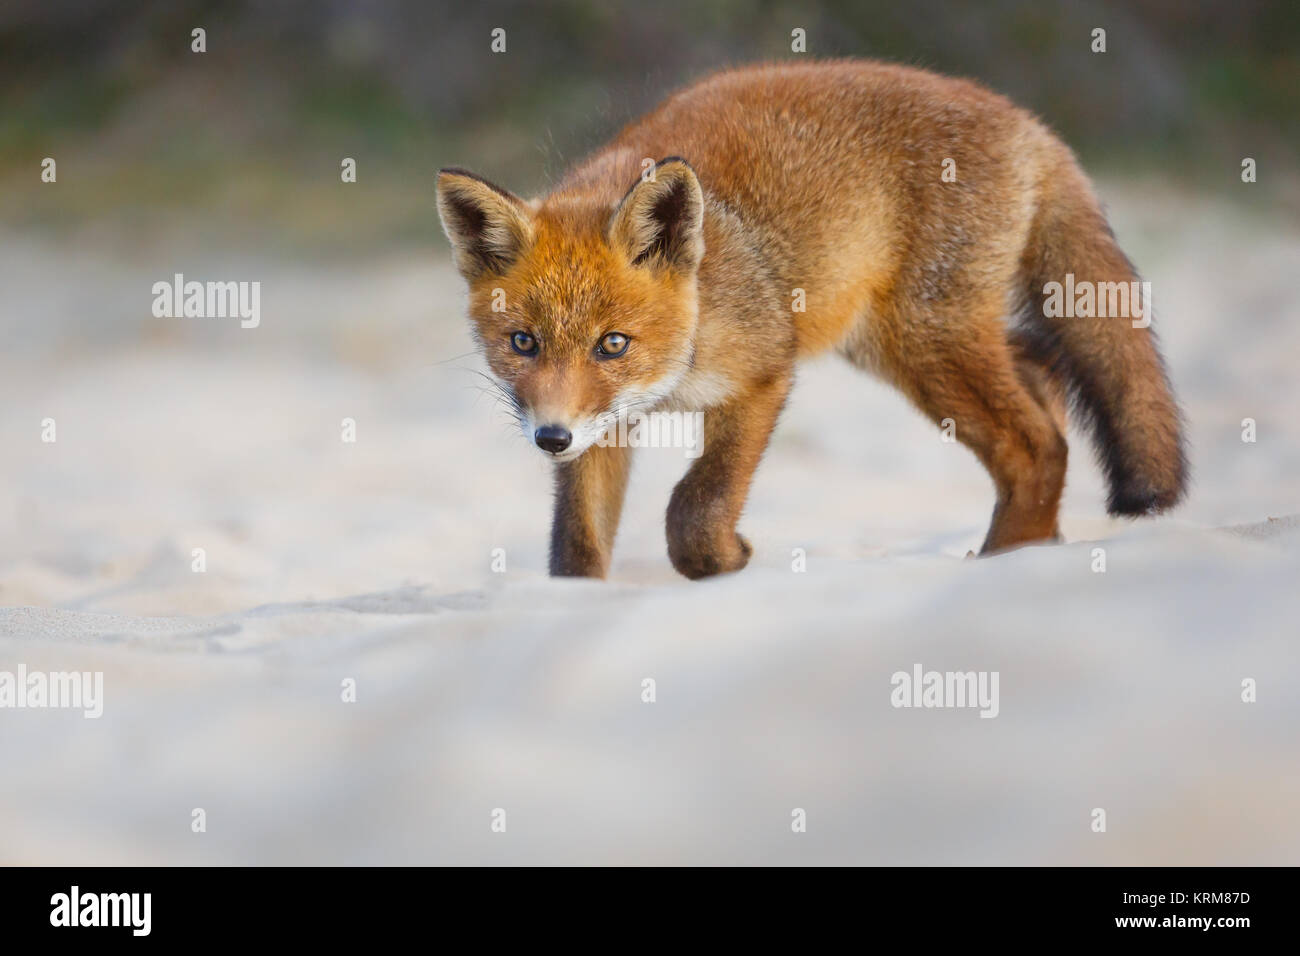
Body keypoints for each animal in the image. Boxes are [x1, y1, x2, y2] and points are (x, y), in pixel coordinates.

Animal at [436, 59, 1187, 580]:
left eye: (612, 344)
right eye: (523, 343)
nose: (551, 438)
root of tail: (1026, 121)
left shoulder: (762, 374)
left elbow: (697, 506)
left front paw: (725, 559)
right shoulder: (605, 425)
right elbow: (577, 545)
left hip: (924, 344)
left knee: (1035, 443)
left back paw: (1009, 559)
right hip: (891, 340)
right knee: (1045, 369)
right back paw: (1036, 544)